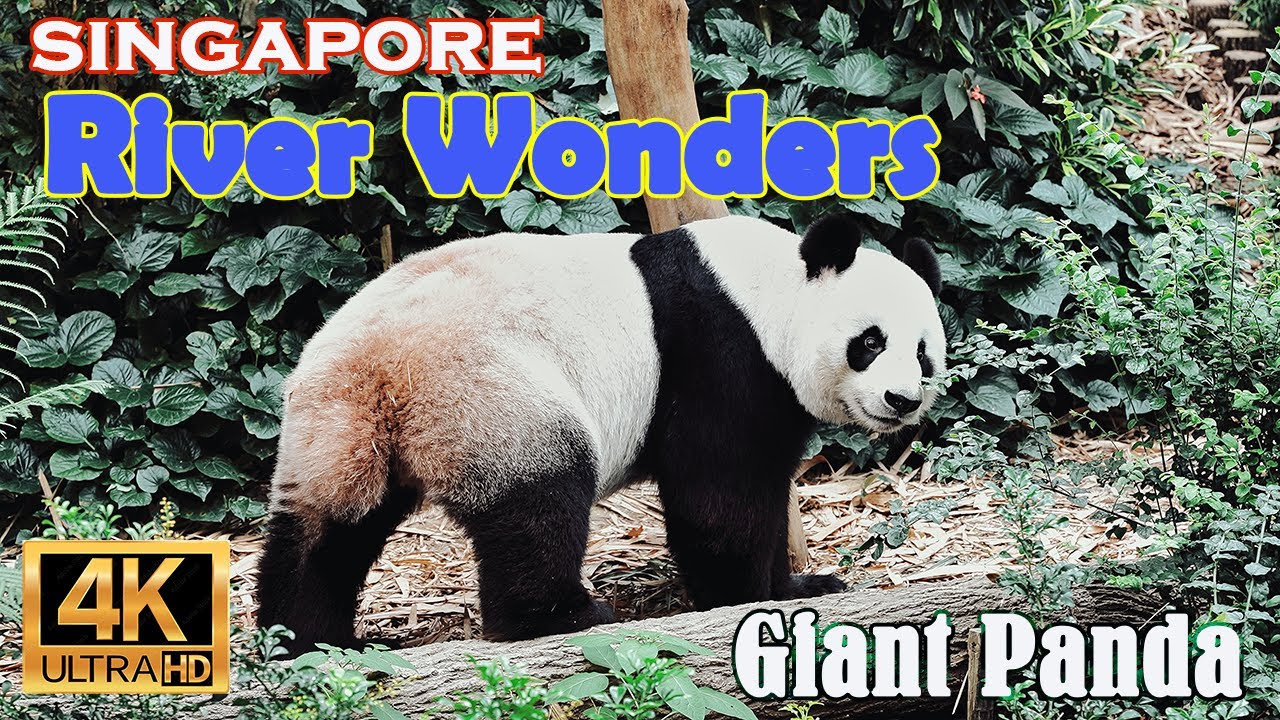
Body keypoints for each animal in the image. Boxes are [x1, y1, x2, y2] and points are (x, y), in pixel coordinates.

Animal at [255, 212, 946, 649]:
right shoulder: (718, 354)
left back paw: (303, 639)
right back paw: (563, 615)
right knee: (539, 495)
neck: (772, 294)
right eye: (869, 343)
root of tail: (382, 365)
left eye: (923, 354)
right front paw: (749, 600)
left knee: (324, 528)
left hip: (334, 421)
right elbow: (719, 492)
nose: (901, 400)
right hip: (487, 390)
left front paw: (802, 584)